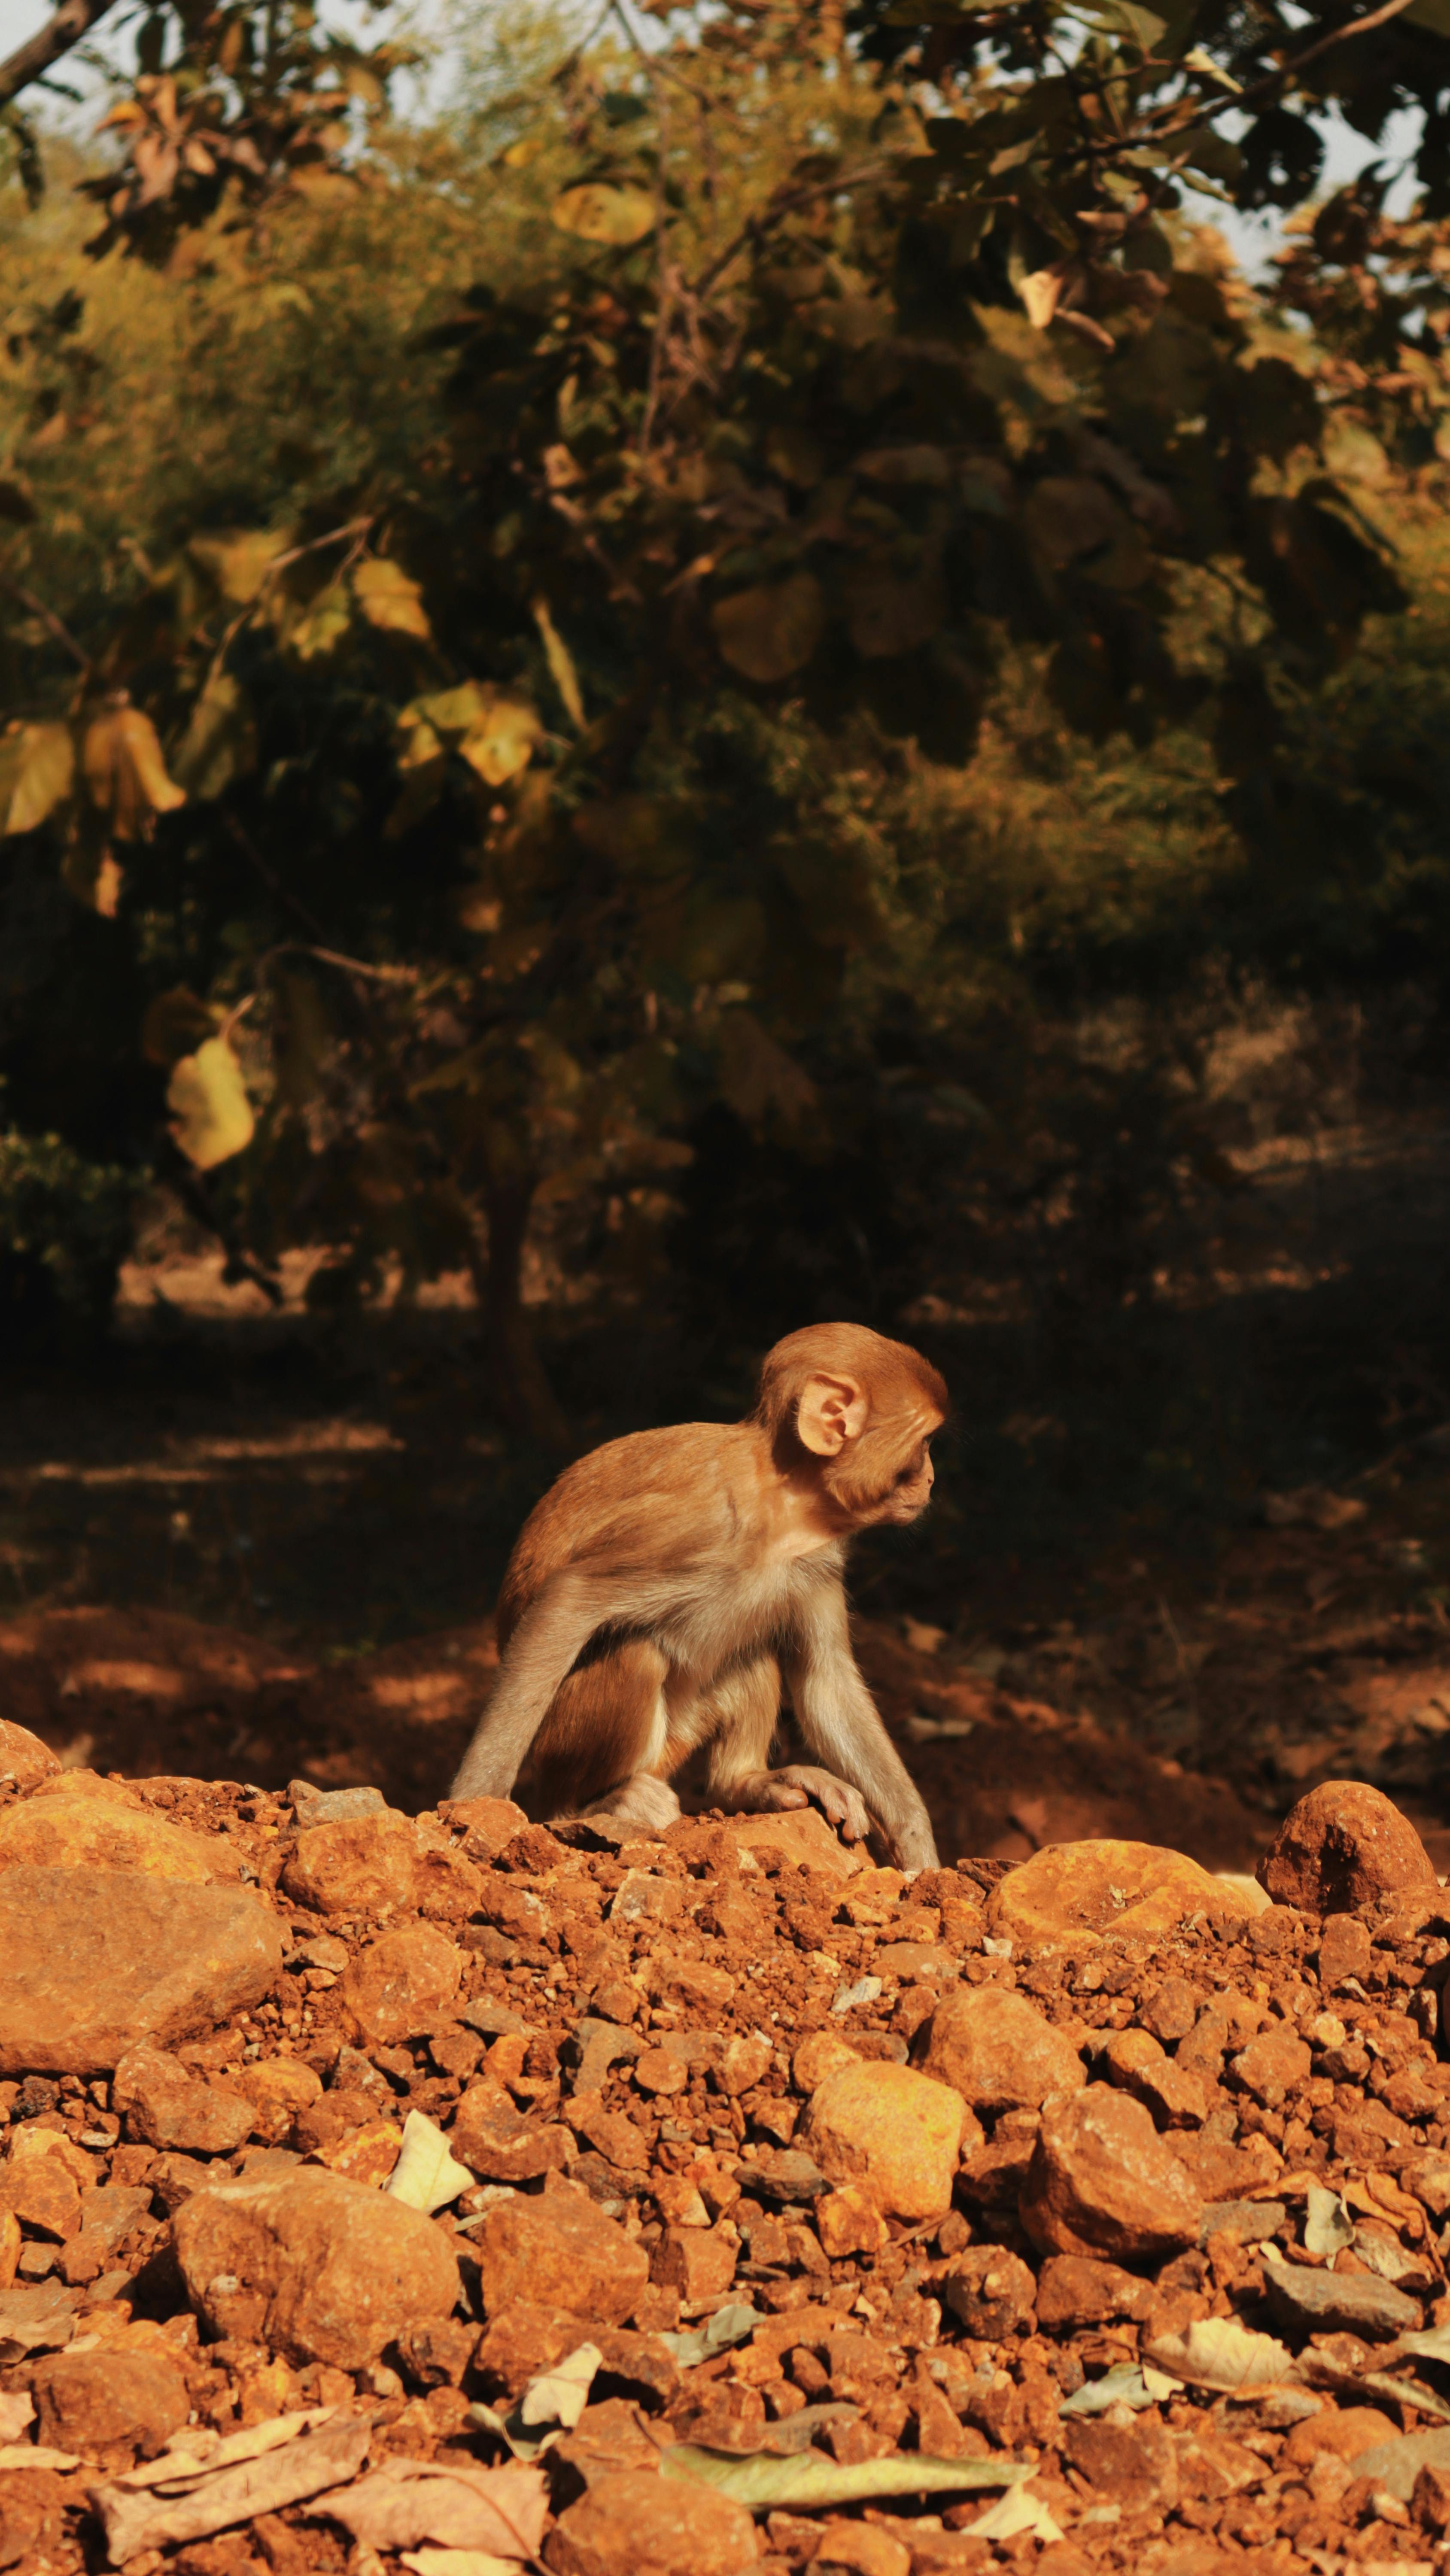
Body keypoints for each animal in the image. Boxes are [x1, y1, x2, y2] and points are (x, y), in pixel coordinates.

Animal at [448, 1321, 945, 1870]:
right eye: (924, 1443)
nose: (930, 1479)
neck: (781, 1501)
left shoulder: (817, 1559)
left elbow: (825, 1683)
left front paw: (915, 1841)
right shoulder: (696, 1527)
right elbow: (568, 1599)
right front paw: (474, 1798)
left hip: (684, 1732)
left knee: (752, 1654)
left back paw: (745, 1783)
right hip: (561, 1744)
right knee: (636, 1652)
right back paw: (581, 1805)